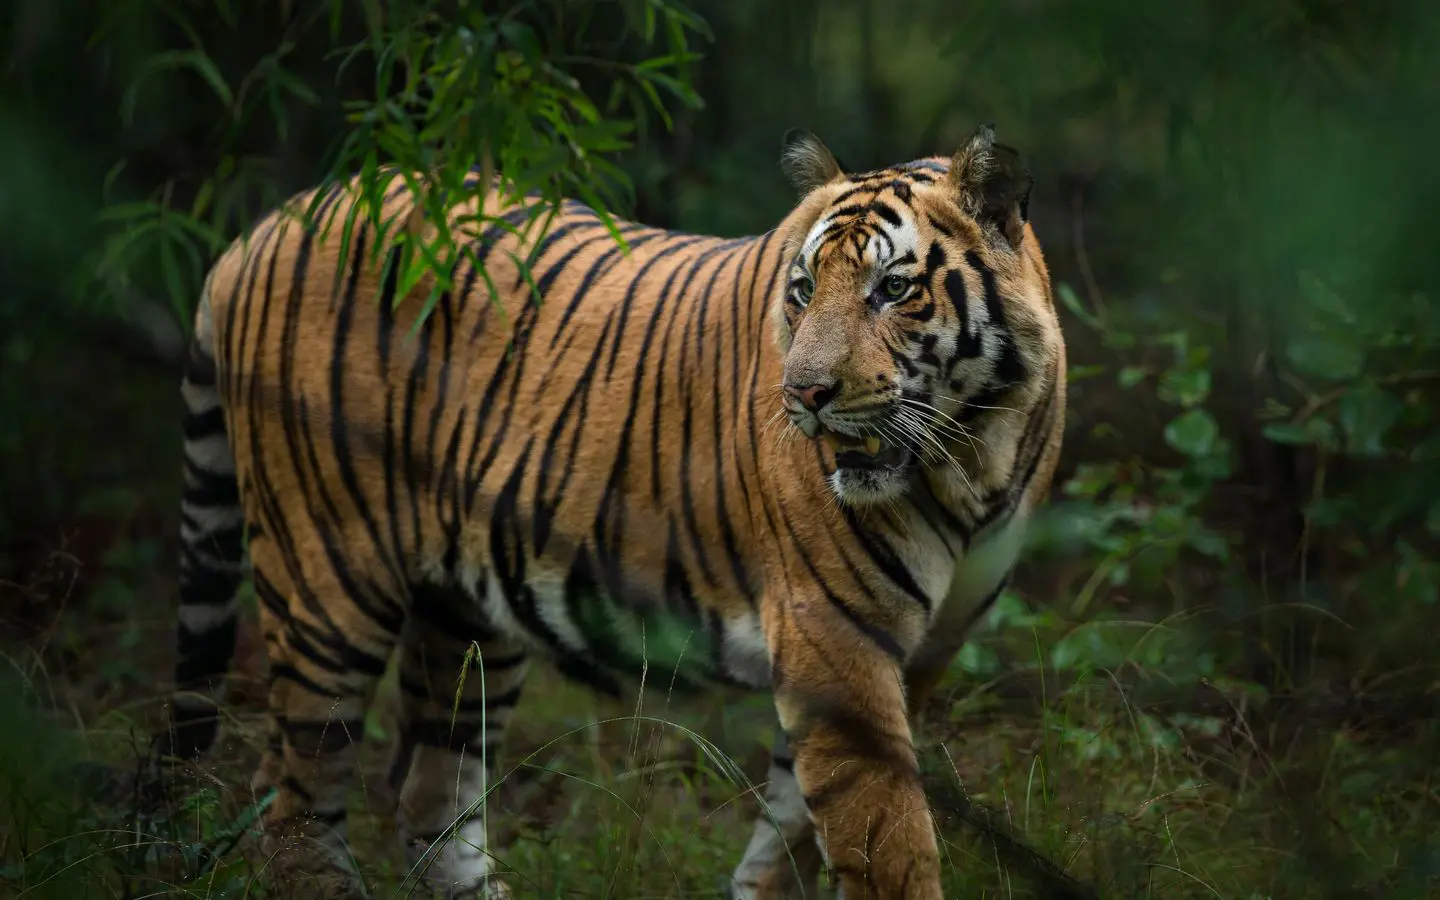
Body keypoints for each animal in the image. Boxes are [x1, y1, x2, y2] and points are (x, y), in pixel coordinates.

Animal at [164, 123, 1066, 899]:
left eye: (893, 289)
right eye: (805, 291)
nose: (803, 394)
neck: (972, 459)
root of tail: (264, 226)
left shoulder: (911, 655)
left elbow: (795, 836)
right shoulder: (835, 637)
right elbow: (888, 844)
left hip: (466, 614)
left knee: (428, 795)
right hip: (328, 581)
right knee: (291, 800)